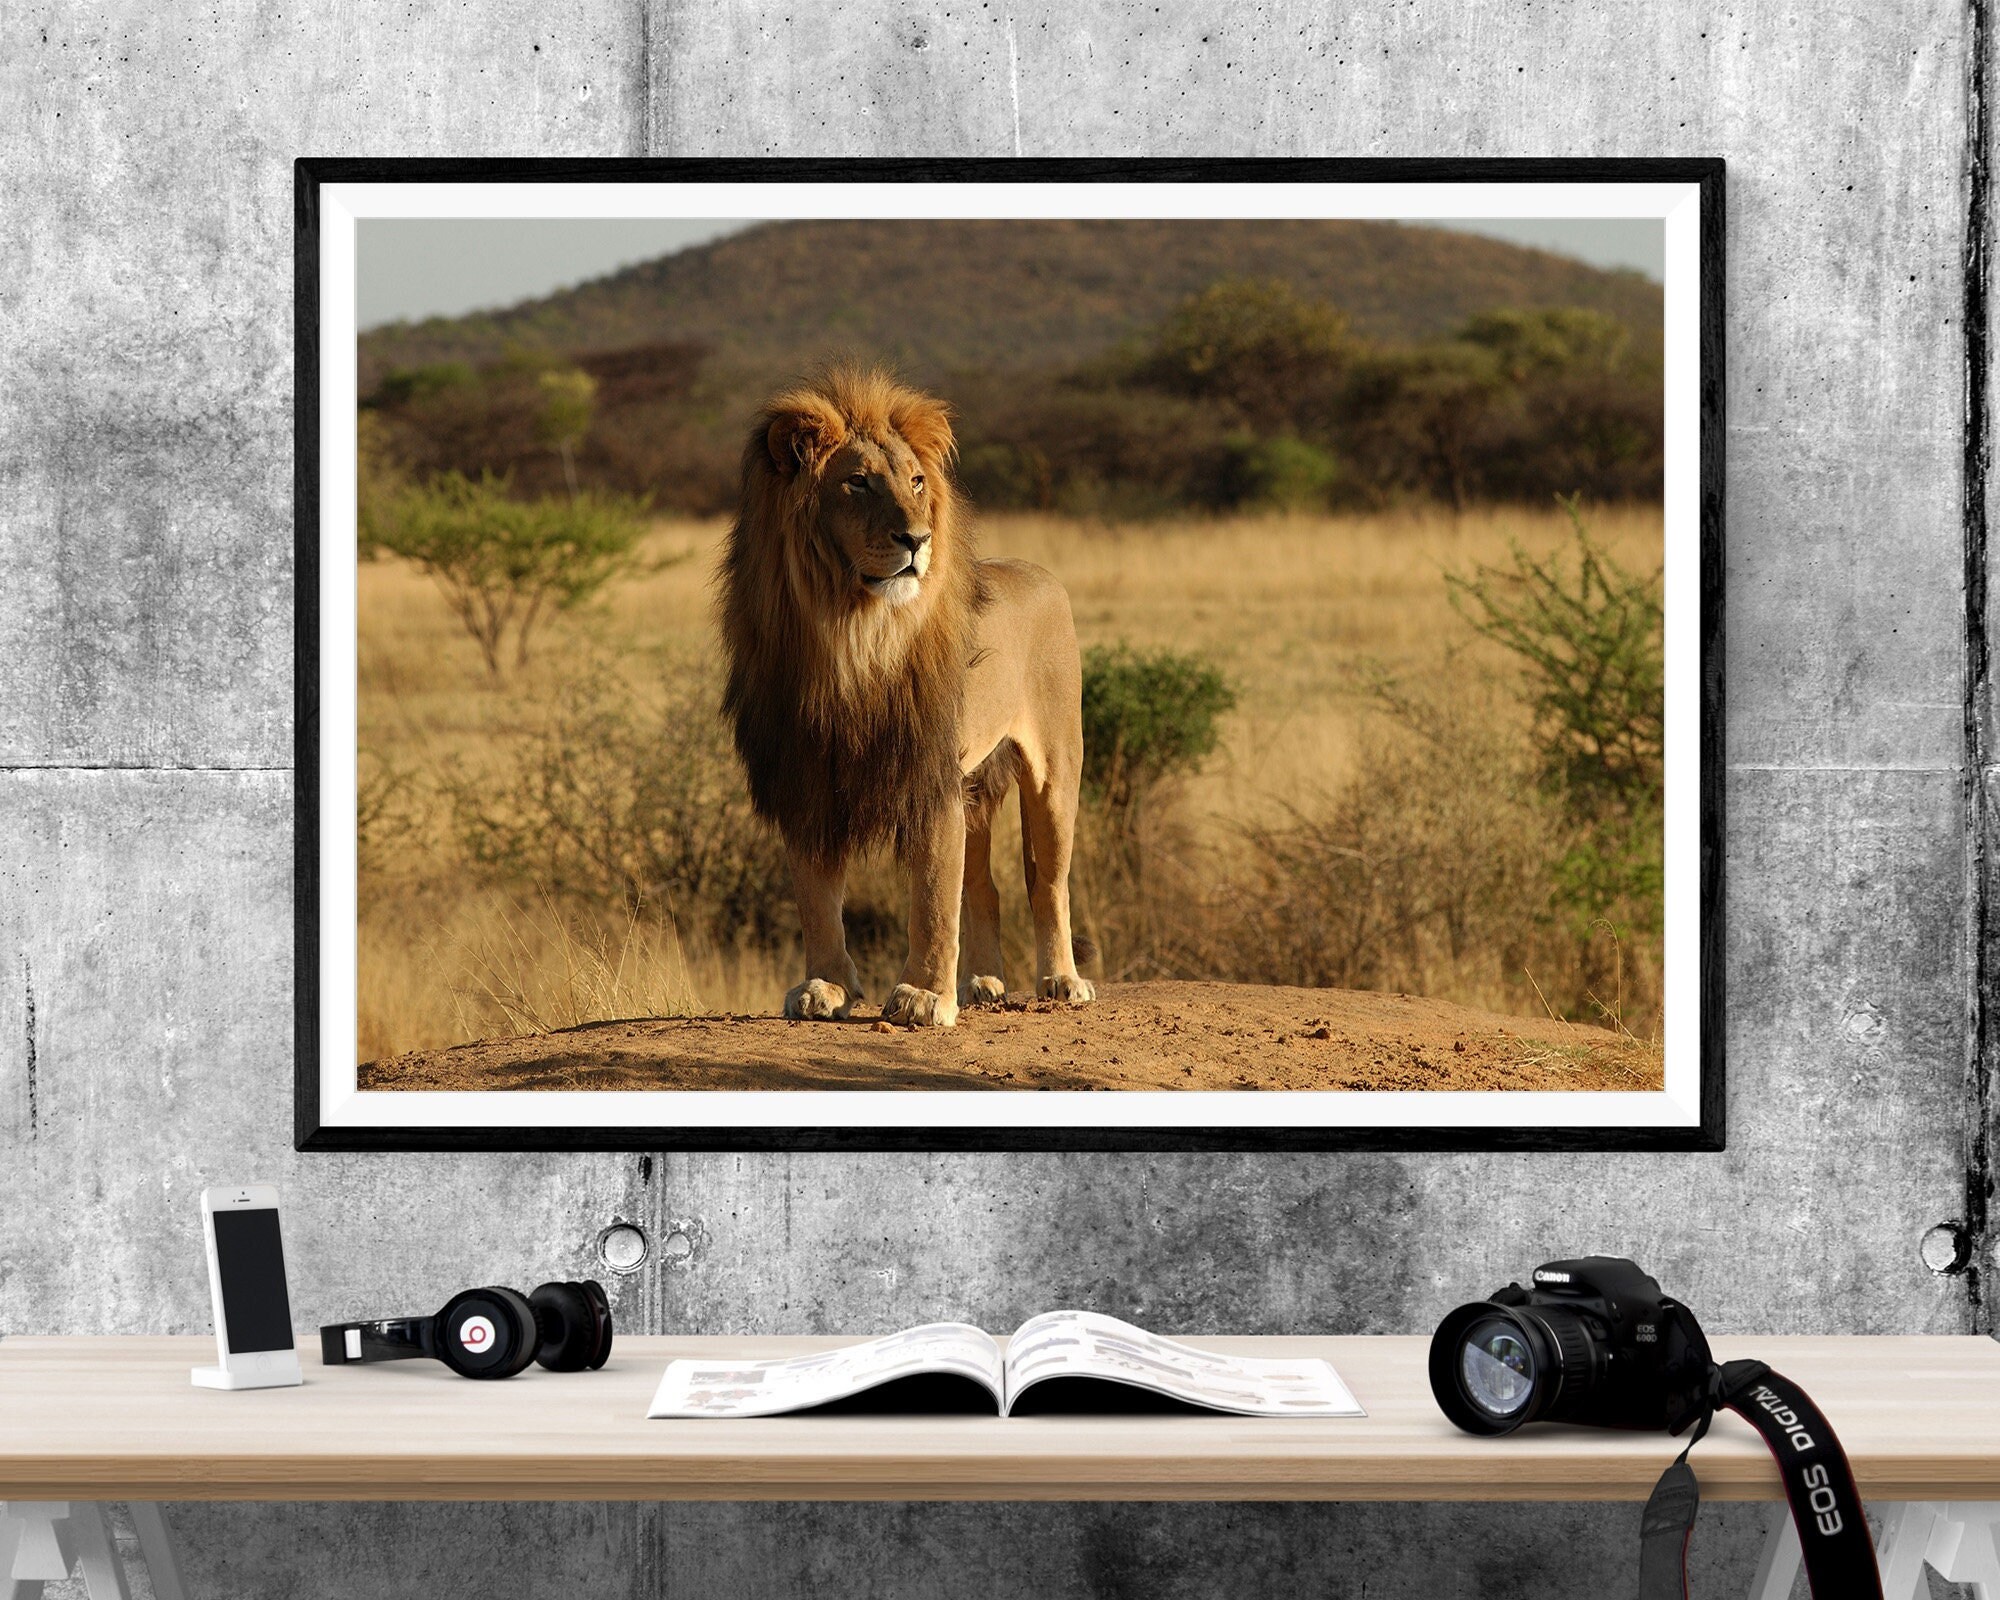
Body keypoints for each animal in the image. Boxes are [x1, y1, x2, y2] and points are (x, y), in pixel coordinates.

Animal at [717, 365, 1096, 1029]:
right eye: (858, 482)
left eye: (917, 482)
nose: (916, 539)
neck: (851, 634)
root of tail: (1041, 573)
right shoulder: (806, 777)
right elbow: (817, 897)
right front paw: (825, 987)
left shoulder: (929, 775)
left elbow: (932, 896)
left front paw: (922, 997)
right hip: (976, 787)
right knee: (985, 886)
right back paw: (981, 983)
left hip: (1054, 771)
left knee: (1047, 880)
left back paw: (1062, 980)